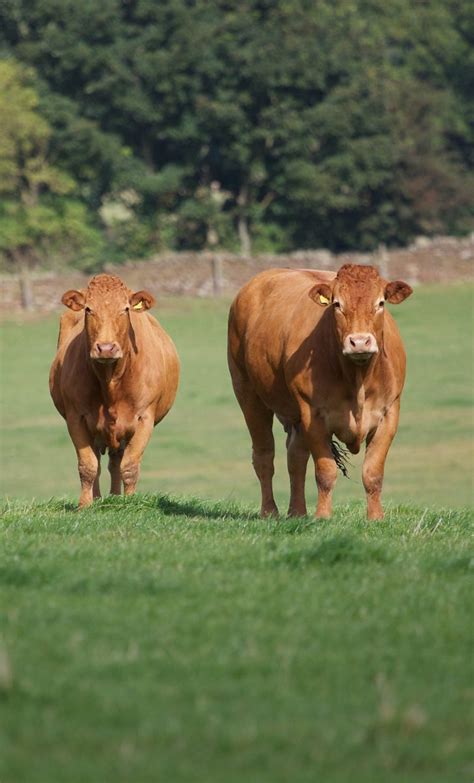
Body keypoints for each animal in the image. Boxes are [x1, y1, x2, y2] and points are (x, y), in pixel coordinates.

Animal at [49, 274, 180, 508]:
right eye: (88, 309)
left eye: (125, 309)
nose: (106, 348)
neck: (110, 380)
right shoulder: (76, 417)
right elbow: (88, 466)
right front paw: (85, 505)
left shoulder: (144, 418)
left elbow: (129, 466)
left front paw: (130, 503)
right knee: (101, 464)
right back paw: (99, 498)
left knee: (115, 462)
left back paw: (115, 497)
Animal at [227, 264, 412, 520]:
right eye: (337, 304)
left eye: (381, 303)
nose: (360, 342)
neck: (357, 379)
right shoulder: (313, 415)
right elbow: (326, 472)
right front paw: (323, 515)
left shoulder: (388, 413)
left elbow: (373, 472)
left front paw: (376, 518)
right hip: (248, 394)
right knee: (264, 455)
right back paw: (269, 511)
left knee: (295, 458)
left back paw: (297, 512)